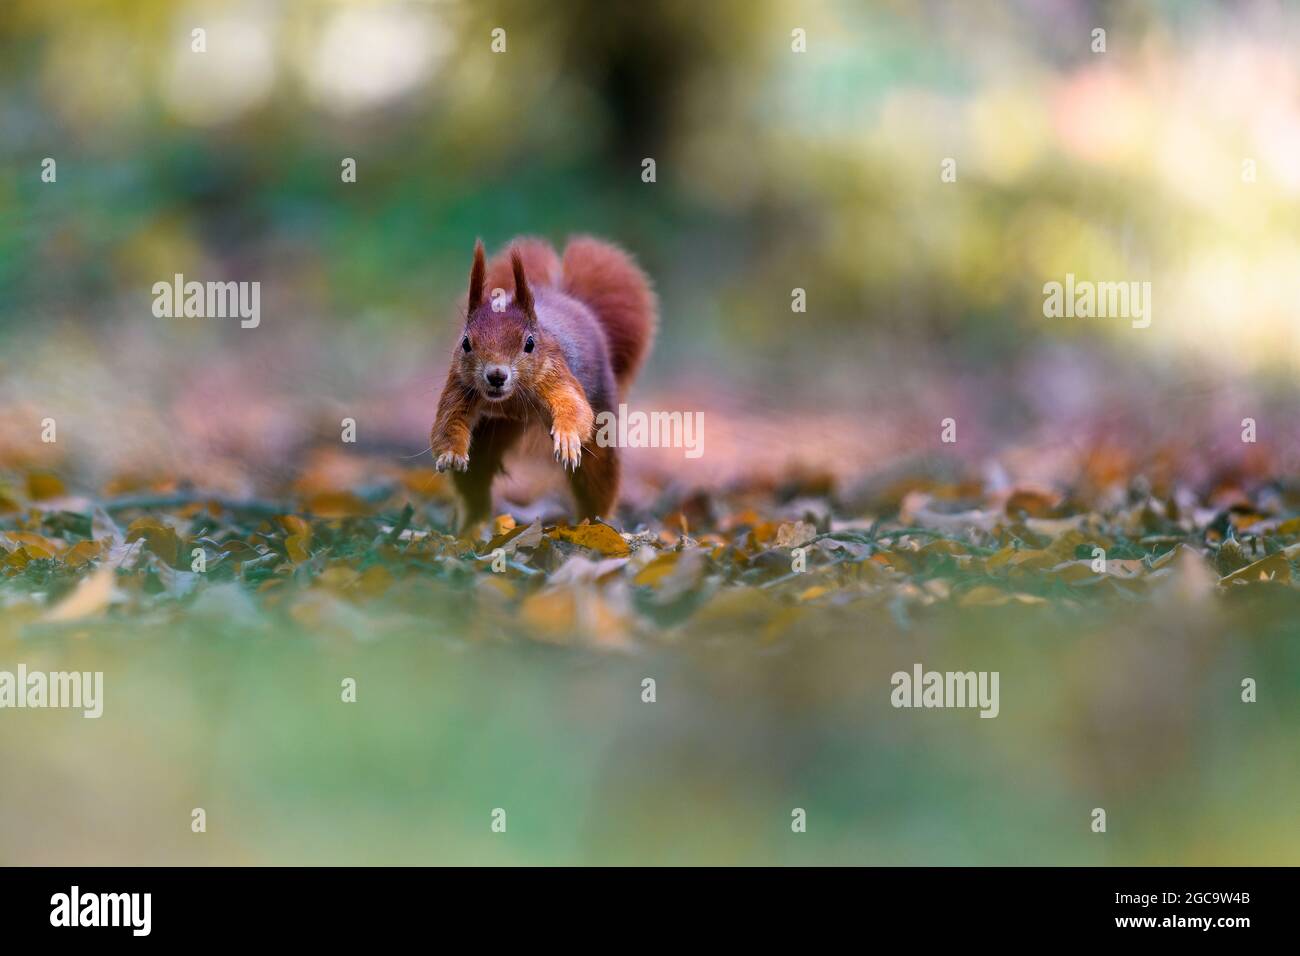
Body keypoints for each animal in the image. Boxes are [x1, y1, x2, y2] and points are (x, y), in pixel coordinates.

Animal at [431, 235, 657, 529]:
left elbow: (576, 408)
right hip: (491, 431)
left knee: (597, 479)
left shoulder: (555, 373)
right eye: (466, 342)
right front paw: (451, 453)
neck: (510, 399)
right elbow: (448, 420)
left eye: (530, 343)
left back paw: (593, 523)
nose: (496, 375)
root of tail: (570, 301)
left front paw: (567, 437)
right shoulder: (460, 384)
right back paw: (472, 526)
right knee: (475, 480)